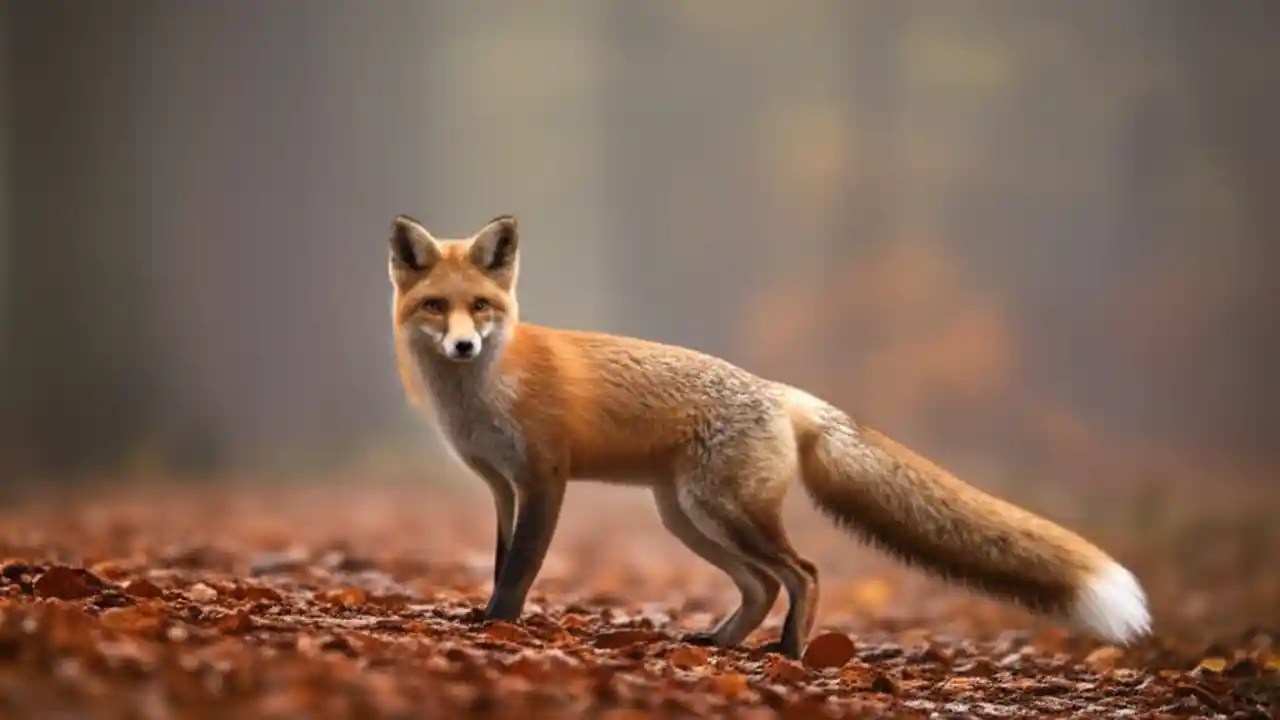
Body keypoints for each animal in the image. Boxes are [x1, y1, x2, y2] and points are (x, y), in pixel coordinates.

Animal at [386, 213, 1152, 659]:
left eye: (481, 307)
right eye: (436, 307)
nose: (462, 346)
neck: (481, 392)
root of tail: (784, 393)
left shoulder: (546, 479)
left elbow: (521, 567)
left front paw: (502, 628)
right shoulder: (500, 487)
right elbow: (498, 561)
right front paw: (486, 619)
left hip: (723, 512)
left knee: (801, 574)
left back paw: (788, 652)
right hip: (688, 518)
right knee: (759, 586)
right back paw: (723, 643)